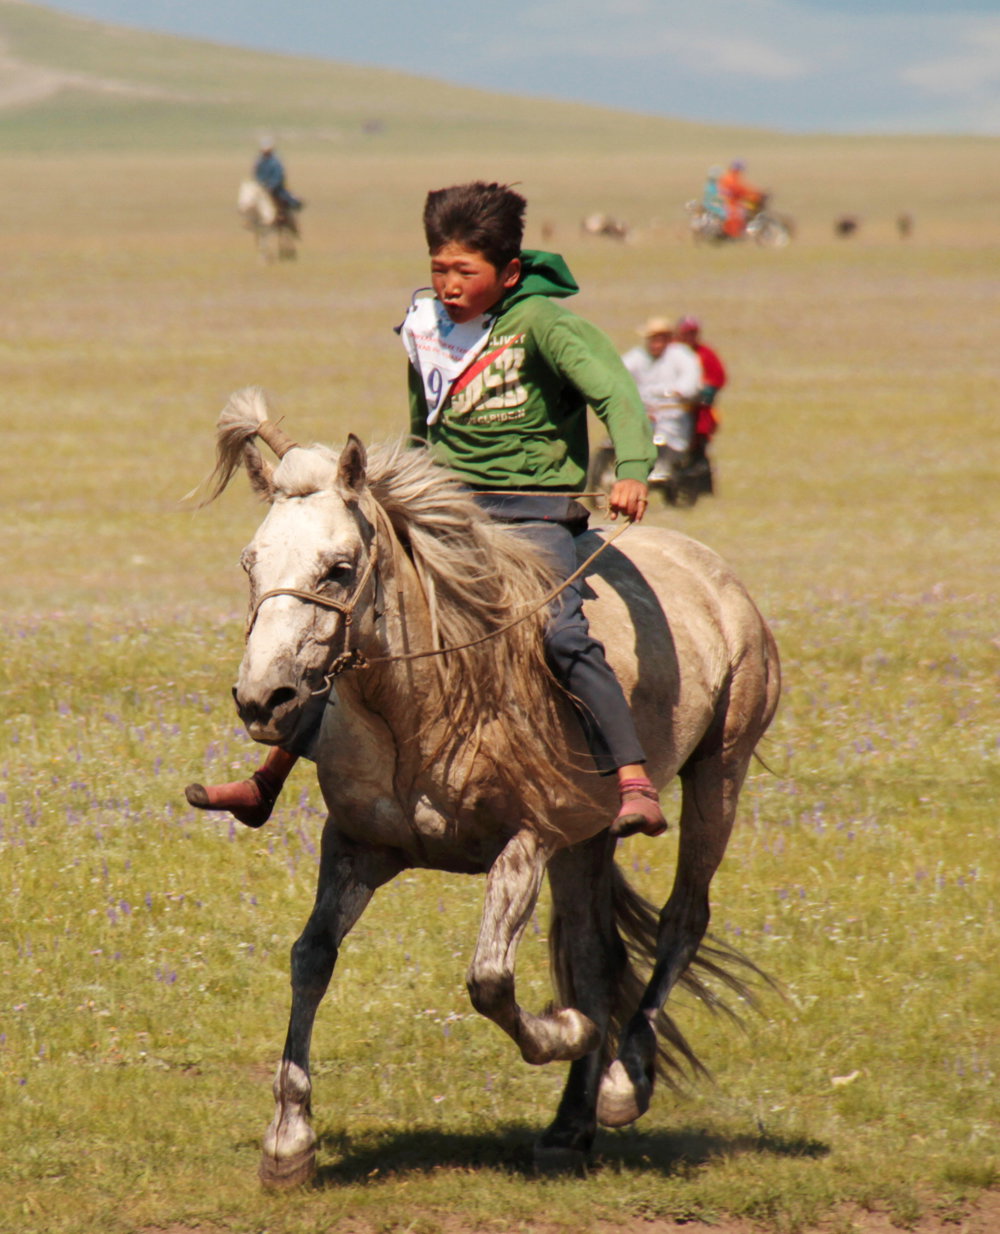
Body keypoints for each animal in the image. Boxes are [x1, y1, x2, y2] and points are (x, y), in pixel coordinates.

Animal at [196, 386, 781, 1186]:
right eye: (250, 563)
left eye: (339, 568)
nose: (264, 699)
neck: (427, 705)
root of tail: (718, 578)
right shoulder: (354, 845)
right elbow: (311, 957)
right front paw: (289, 1138)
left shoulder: (527, 843)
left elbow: (490, 980)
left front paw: (567, 1033)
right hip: (588, 842)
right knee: (594, 953)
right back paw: (570, 1125)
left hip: (719, 770)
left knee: (681, 921)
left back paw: (622, 1079)